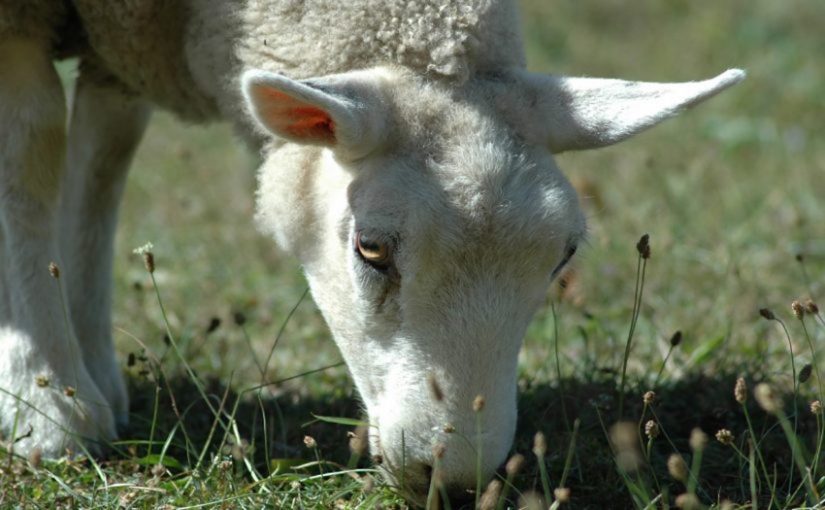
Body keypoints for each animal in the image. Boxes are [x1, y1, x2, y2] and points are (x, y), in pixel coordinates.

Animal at [0, 0, 743, 495]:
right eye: (372, 249)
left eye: (562, 257)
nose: (453, 477)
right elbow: (29, 147)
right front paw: (51, 406)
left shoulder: (122, 45)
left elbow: (103, 160)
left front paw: (91, 369)